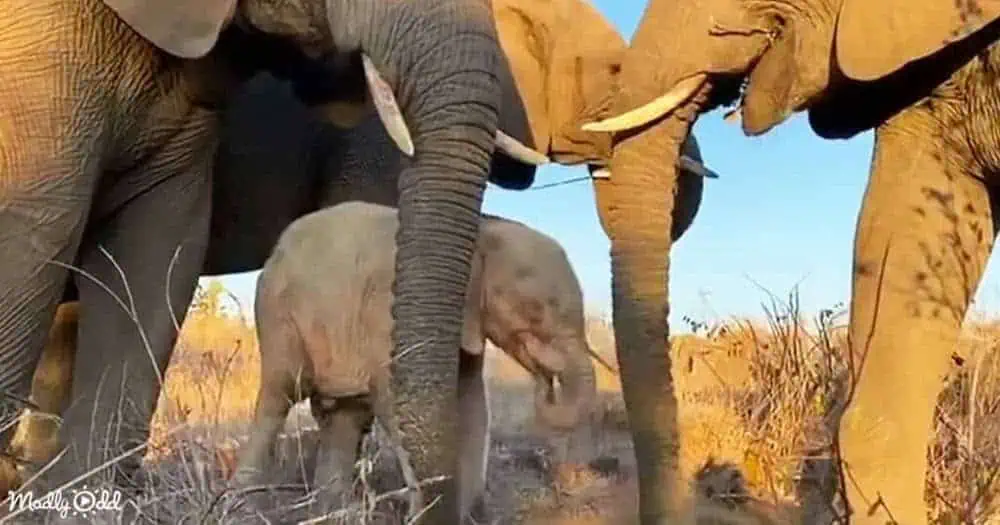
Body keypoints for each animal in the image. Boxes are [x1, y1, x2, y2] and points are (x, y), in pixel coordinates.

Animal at [233, 200, 602, 521]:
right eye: (536, 311)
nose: (545, 378)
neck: (483, 227)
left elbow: (473, 404)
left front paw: (466, 517)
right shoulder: (388, 309)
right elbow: (394, 398)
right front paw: (422, 515)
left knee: (344, 416)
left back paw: (333, 512)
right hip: (277, 312)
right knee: (280, 394)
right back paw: (240, 503)